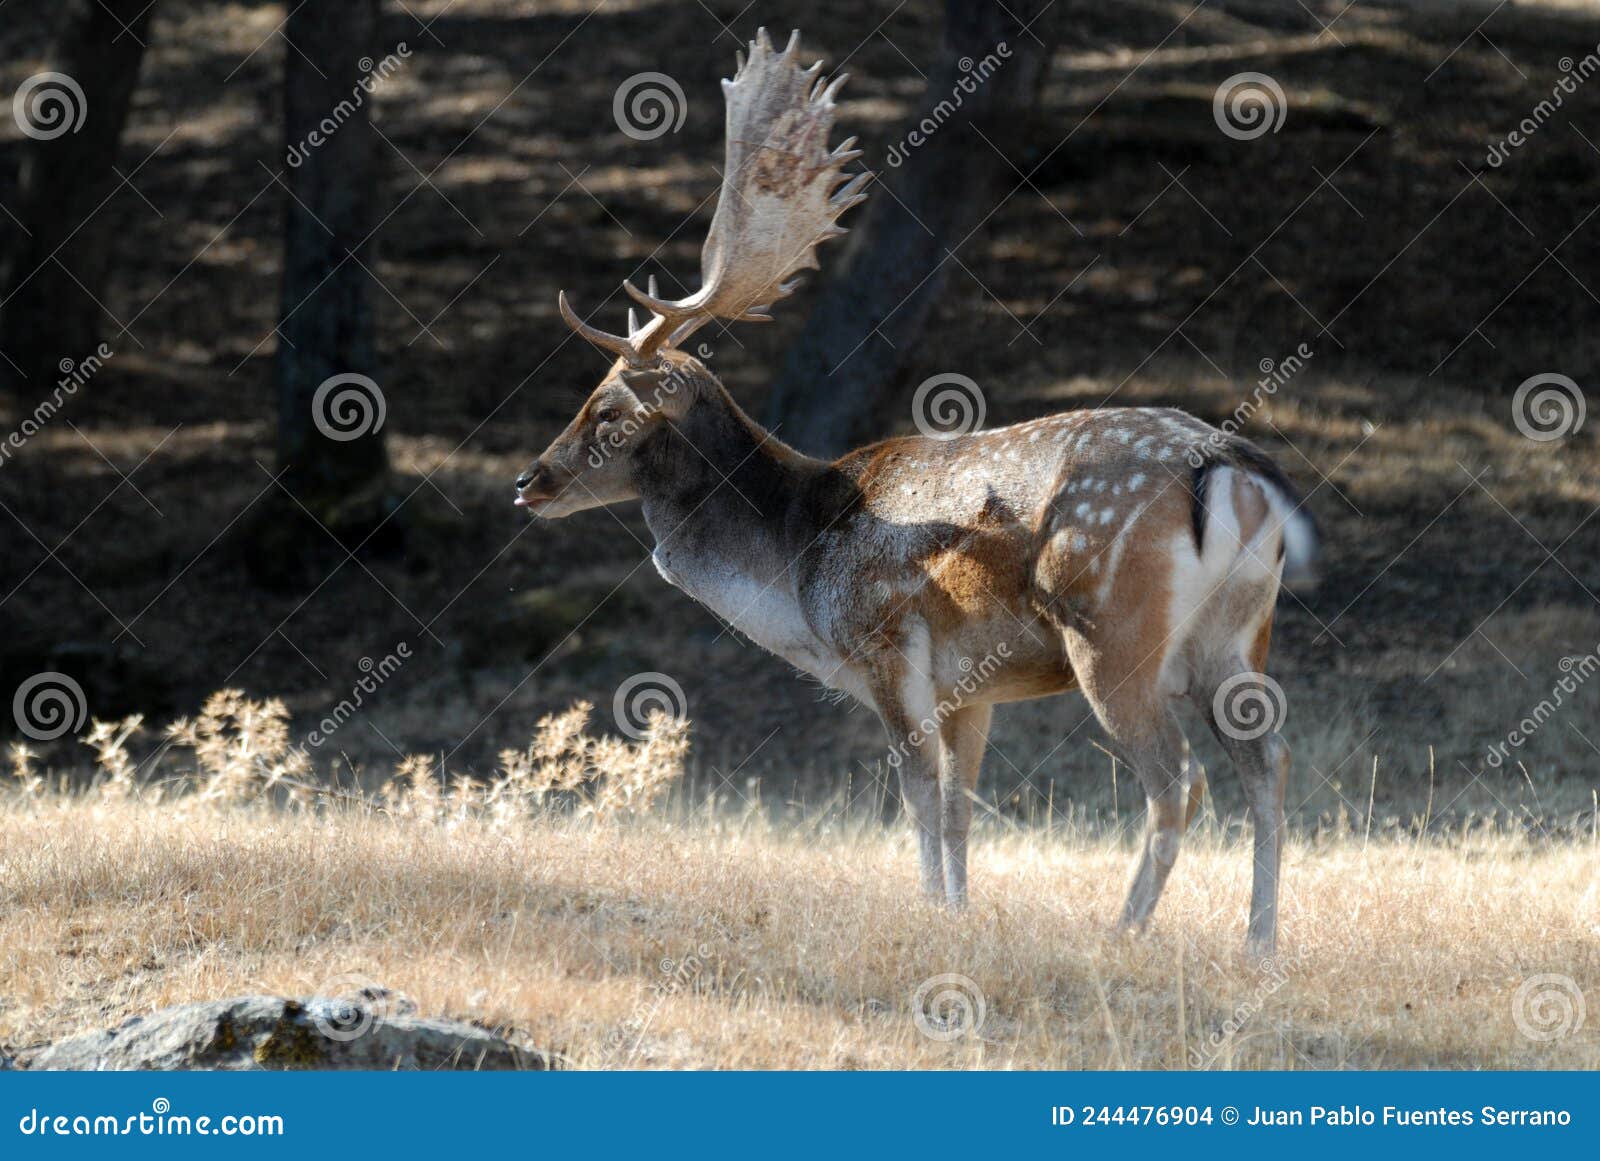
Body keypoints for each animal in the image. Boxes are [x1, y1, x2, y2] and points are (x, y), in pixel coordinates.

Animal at [515, 29, 1317, 954]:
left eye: (608, 409)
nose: (528, 481)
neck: (797, 561)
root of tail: (1228, 462)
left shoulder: (886, 643)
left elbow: (920, 797)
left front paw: (930, 913)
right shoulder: (973, 686)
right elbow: (963, 807)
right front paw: (960, 914)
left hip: (1111, 630)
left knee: (1177, 778)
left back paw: (1122, 933)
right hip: (1239, 636)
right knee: (1269, 763)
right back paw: (1259, 944)